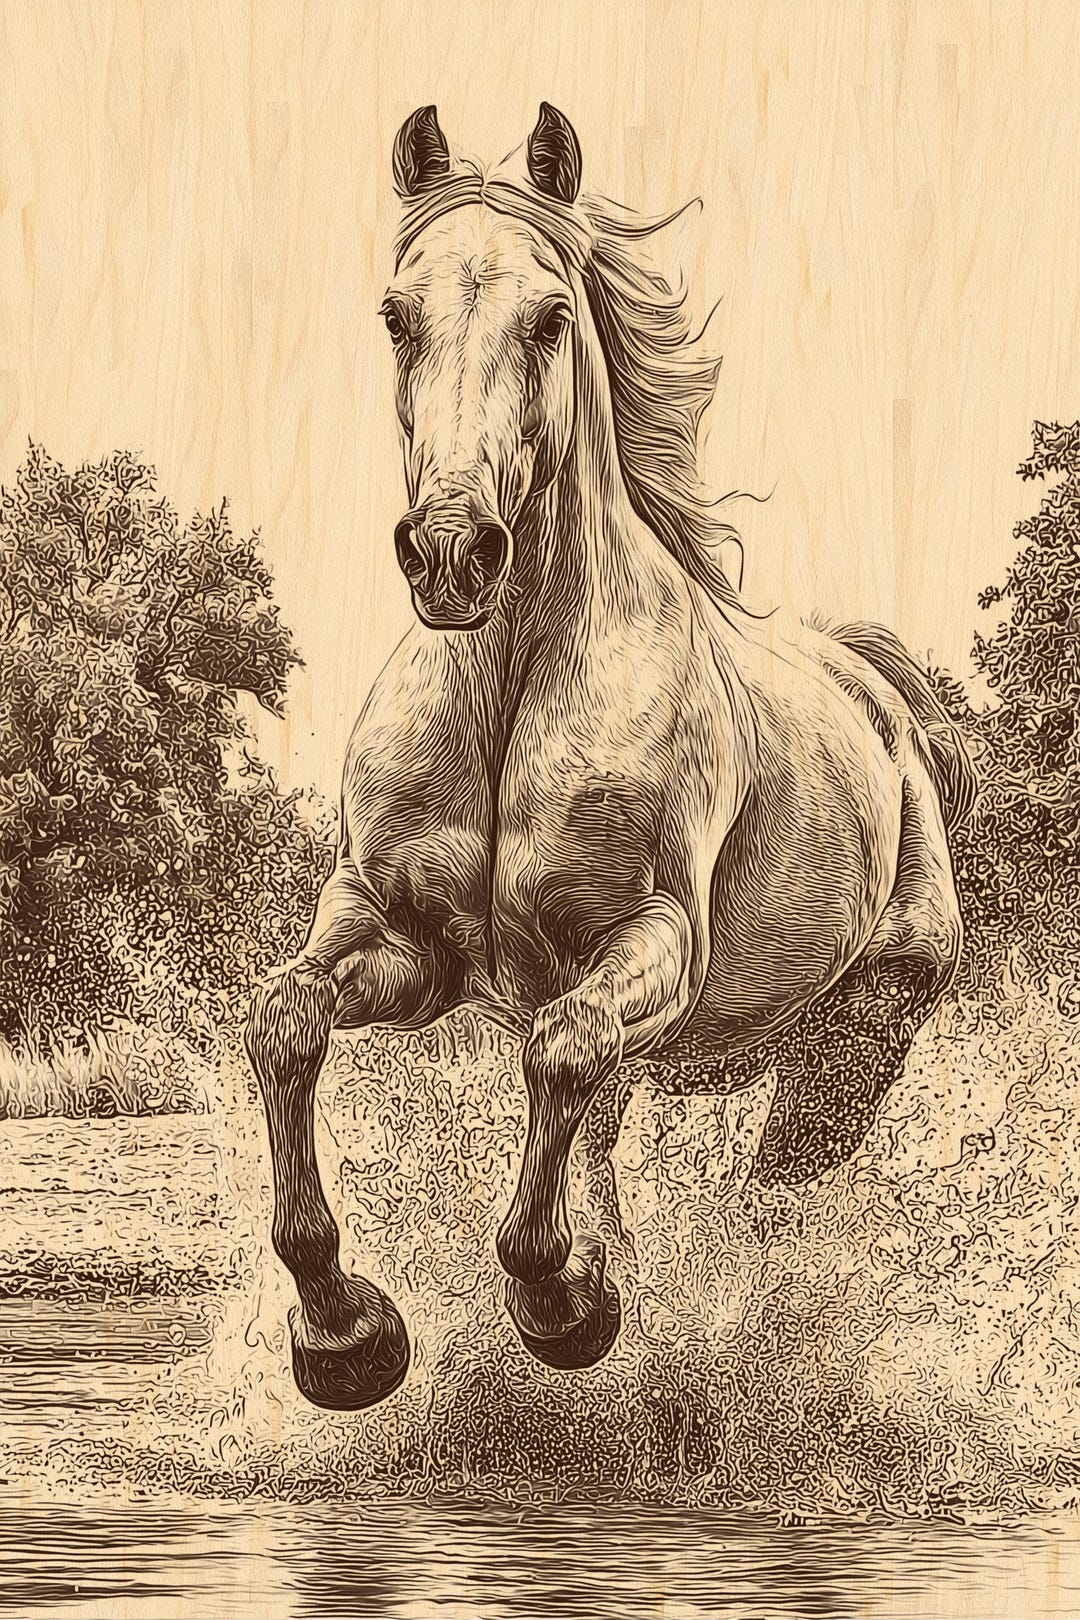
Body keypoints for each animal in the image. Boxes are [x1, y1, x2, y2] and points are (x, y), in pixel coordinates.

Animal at [245, 103, 976, 1410]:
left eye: (549, 318)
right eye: (396, 316)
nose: (452, 553)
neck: (509, 691)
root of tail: (886, 705)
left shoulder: (651, 943)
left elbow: (563, 1050)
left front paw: (563, 1307)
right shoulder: (402, 939)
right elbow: (288, 1018)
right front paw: (345, 1332)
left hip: (852, 1046)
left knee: (772, 1201)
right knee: (608, 1132)